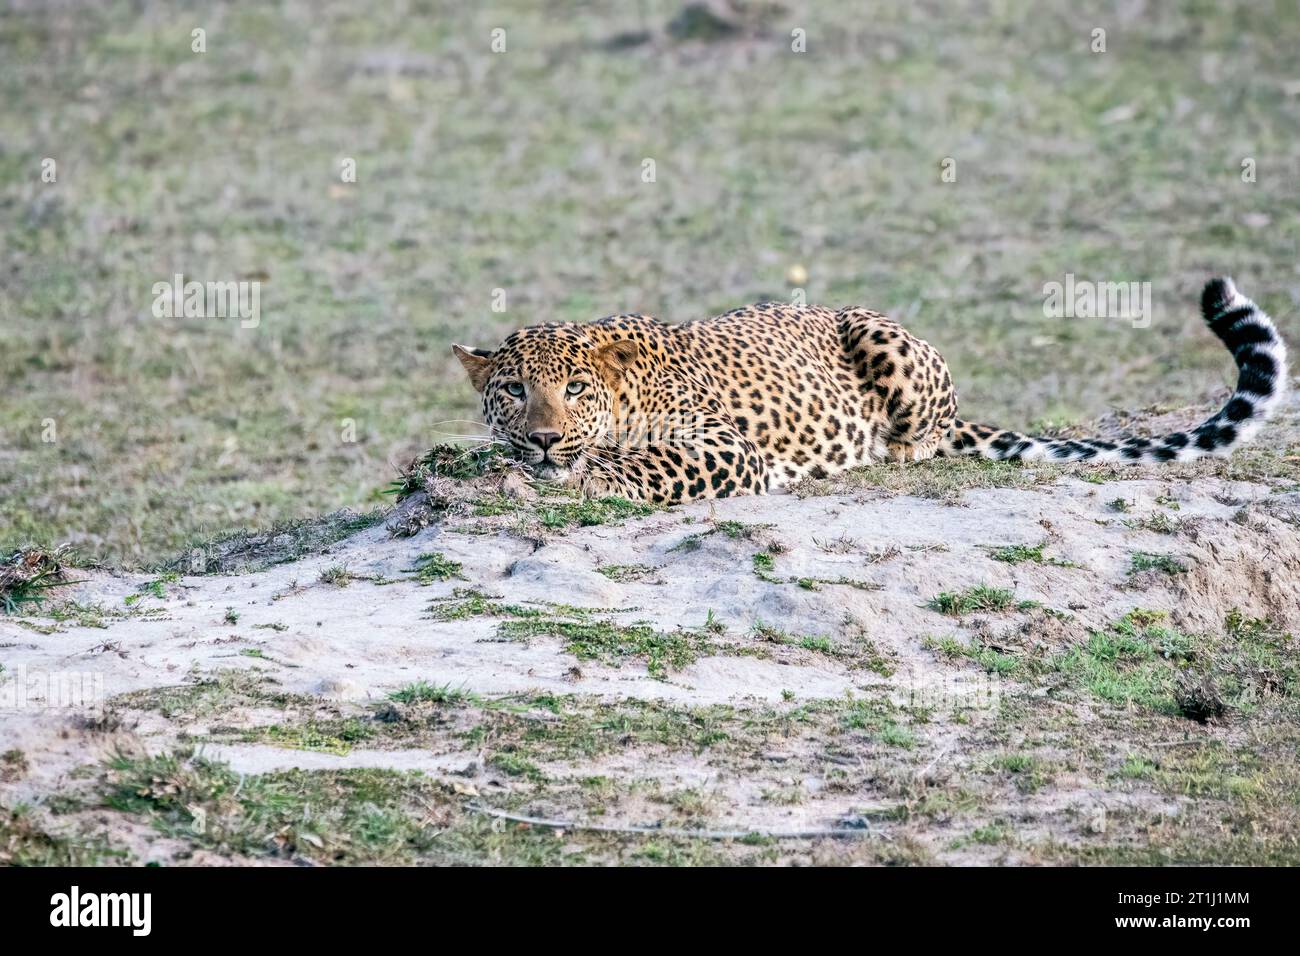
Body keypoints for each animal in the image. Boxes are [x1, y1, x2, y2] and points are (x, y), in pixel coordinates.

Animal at [452, 278, 1288, 504]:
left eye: (575, 387)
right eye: (515, 388)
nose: (544, 438)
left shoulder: (727, 446)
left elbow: (641, 463)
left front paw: (588, 473)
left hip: (883, 343)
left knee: (923, 438)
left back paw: (887, 452)